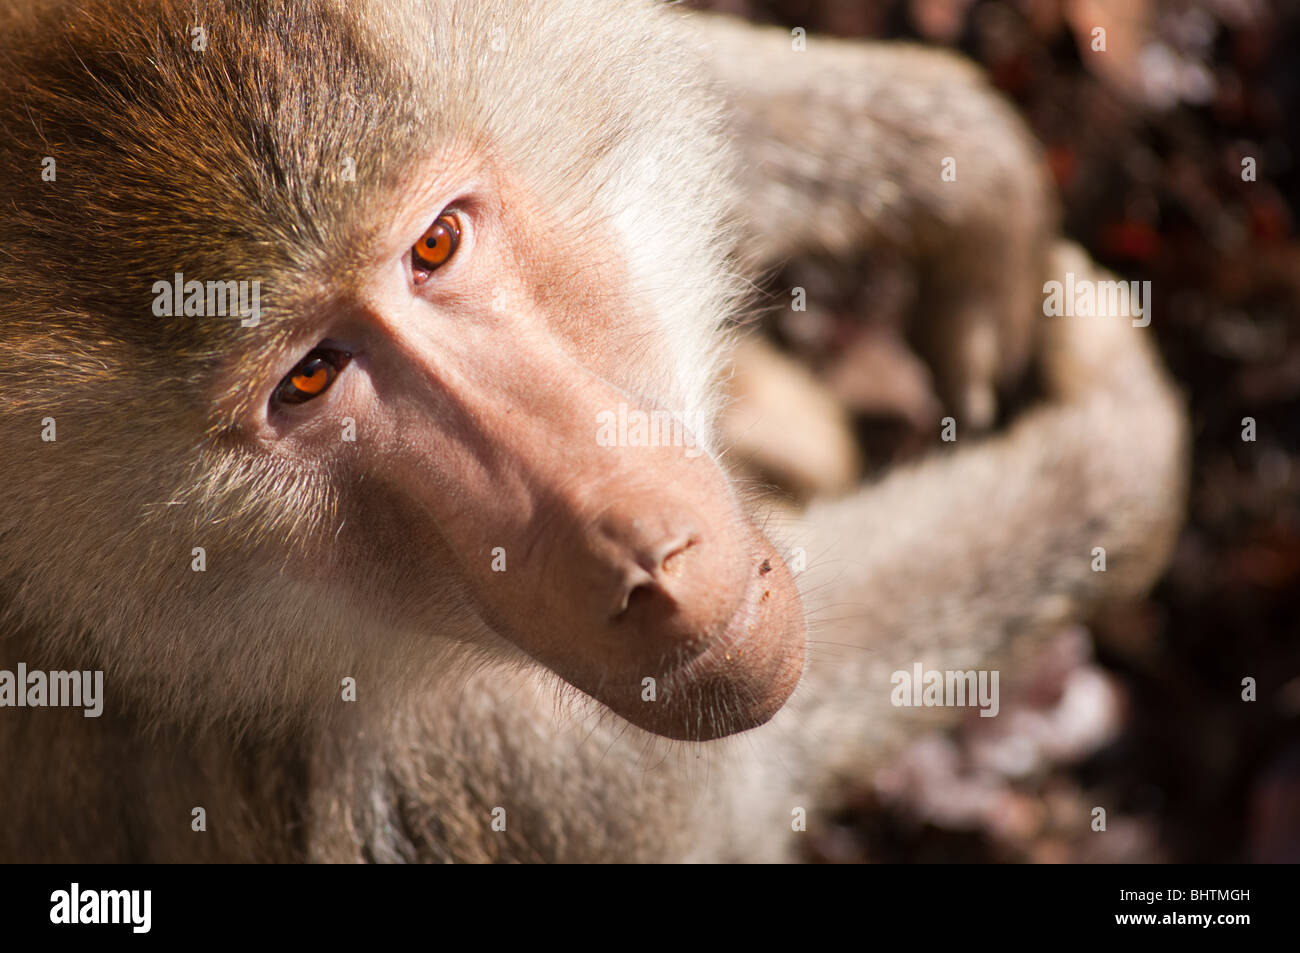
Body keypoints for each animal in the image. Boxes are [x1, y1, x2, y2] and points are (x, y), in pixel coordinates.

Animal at [0, 0, 1186, 863]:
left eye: (435, 244)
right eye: (307, 379)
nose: (645, 551)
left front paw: (961, 169)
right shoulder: (469, 765)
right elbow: (747, 790)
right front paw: (1109, 459)